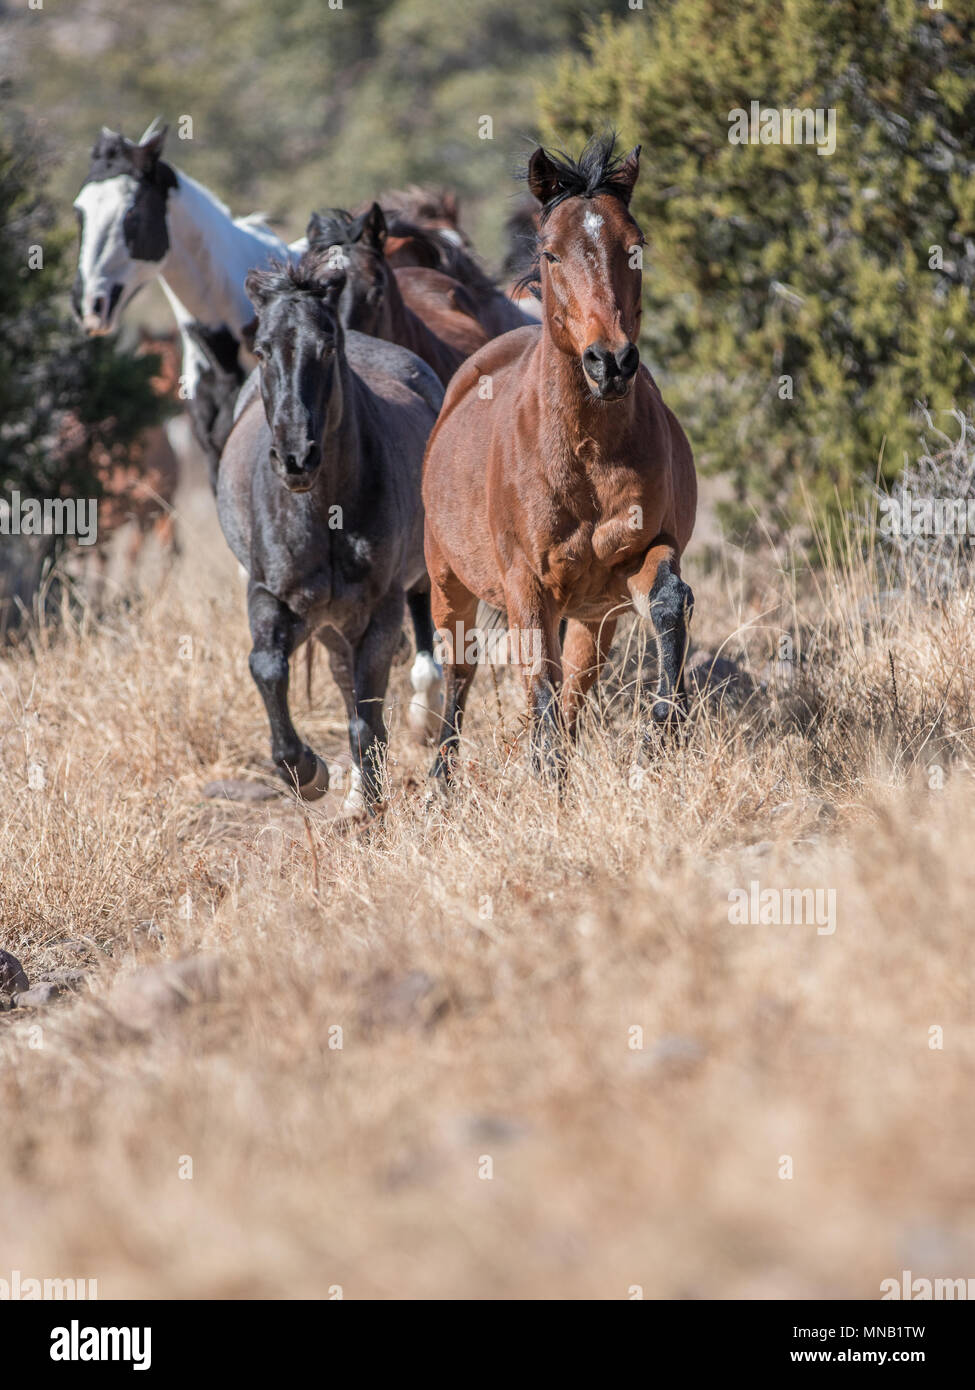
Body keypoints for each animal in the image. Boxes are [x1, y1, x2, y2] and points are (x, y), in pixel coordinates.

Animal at [216, 259, 445, 814]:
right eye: (262, 350)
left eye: (326, 348)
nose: (296, 457)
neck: (326, 514)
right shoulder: (272, 595)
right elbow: (267, 667)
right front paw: (307, 772)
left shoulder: (380, 607)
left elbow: (367, 714)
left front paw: (369, 801)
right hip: (328, 620)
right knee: (342, 677)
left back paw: (423, 720)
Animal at [421, 135, 697, 787]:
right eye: (550, 252)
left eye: (635, 247)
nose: (611, 362)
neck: (586, 458)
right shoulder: (527, 585)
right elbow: (535, 682)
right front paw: (544, 775)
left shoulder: (641, 555)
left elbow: (670, 602)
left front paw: (662, 731)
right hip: (447, 581)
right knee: (461, 676)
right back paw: (440, 781)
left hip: (594, 615)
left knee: (574, 689)